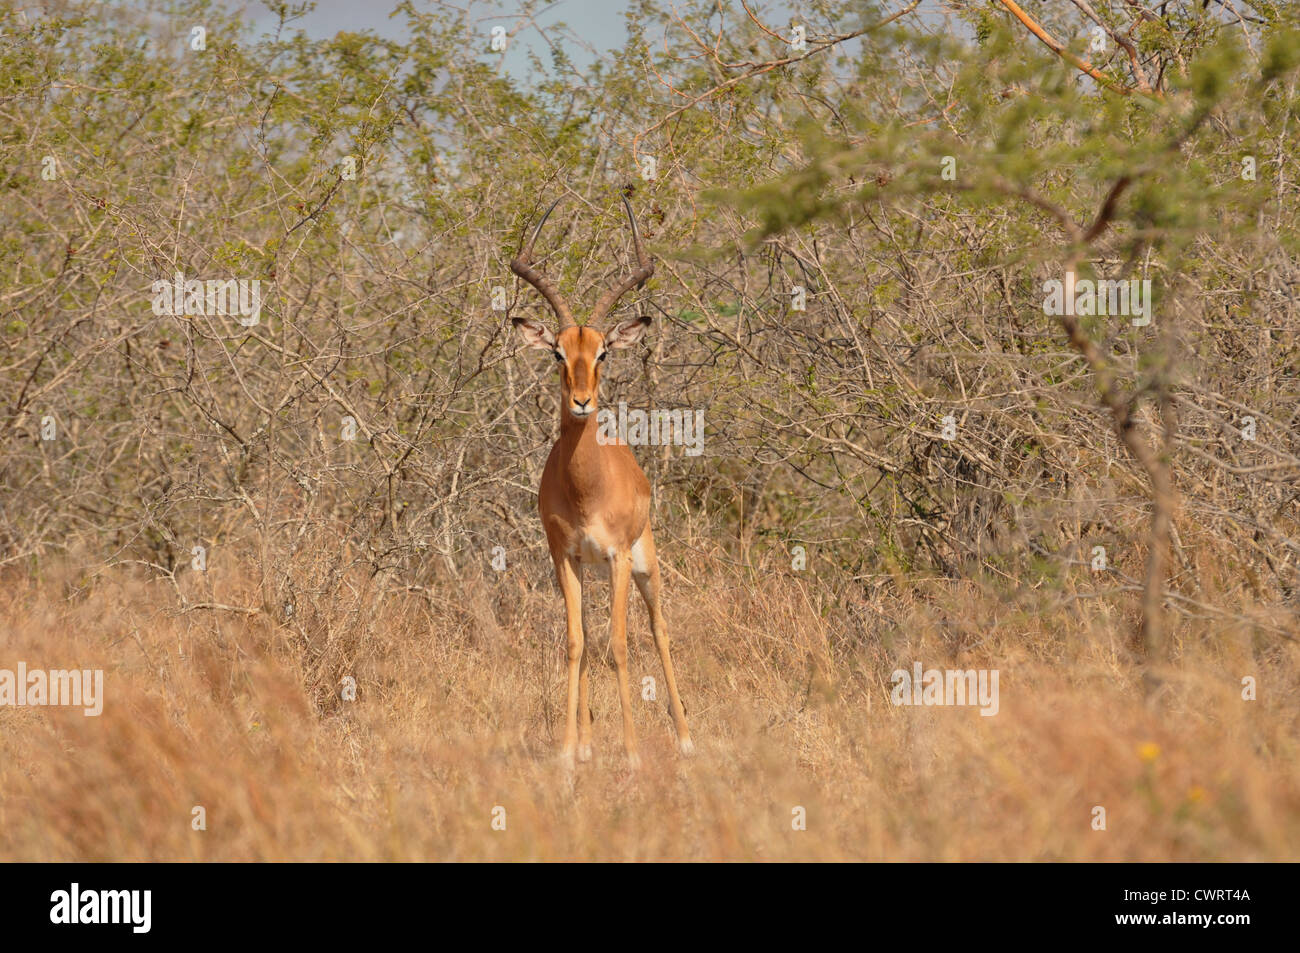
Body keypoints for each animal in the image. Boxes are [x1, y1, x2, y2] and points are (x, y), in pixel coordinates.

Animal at [510, 197, 694, 770]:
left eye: (604, 352)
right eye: (556, 352)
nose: (582, 401)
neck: (585, 488)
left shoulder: (615, 557)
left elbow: (620, 645)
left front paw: (632, 755)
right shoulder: (564, 556)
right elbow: (577, 643)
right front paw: (570, 751)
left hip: (644, 564)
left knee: (659, 630)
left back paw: (686, 739)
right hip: (590, 568)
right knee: (590, 637)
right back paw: (591, 745)